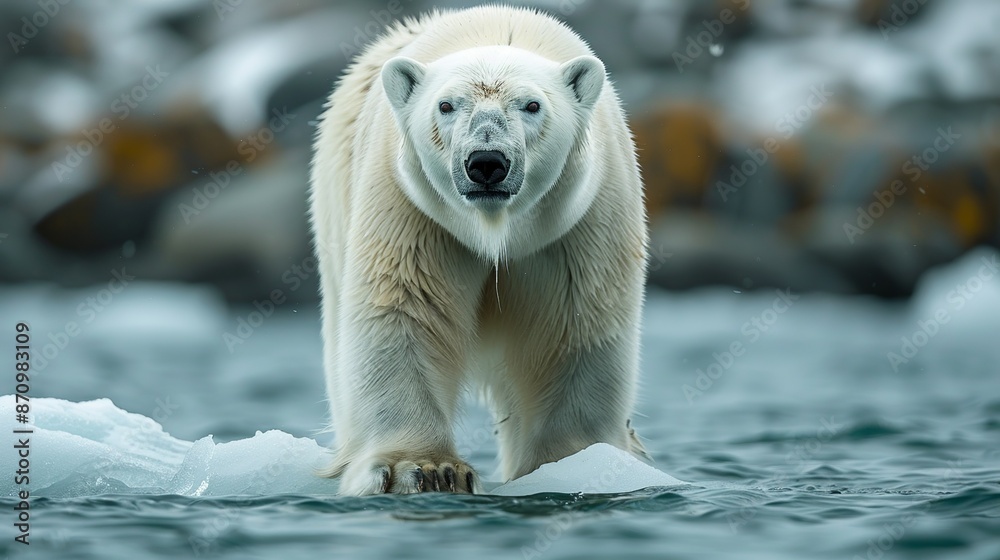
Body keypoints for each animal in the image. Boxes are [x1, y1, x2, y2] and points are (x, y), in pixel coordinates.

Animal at [309, 5, 649, 495]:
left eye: (532, 105)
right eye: (446, 105)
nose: (487, 163)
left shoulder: (579, 220)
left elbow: (578, 326)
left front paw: (572, 462)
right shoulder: (412, 209)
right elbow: (403, 313)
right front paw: (427, 469)